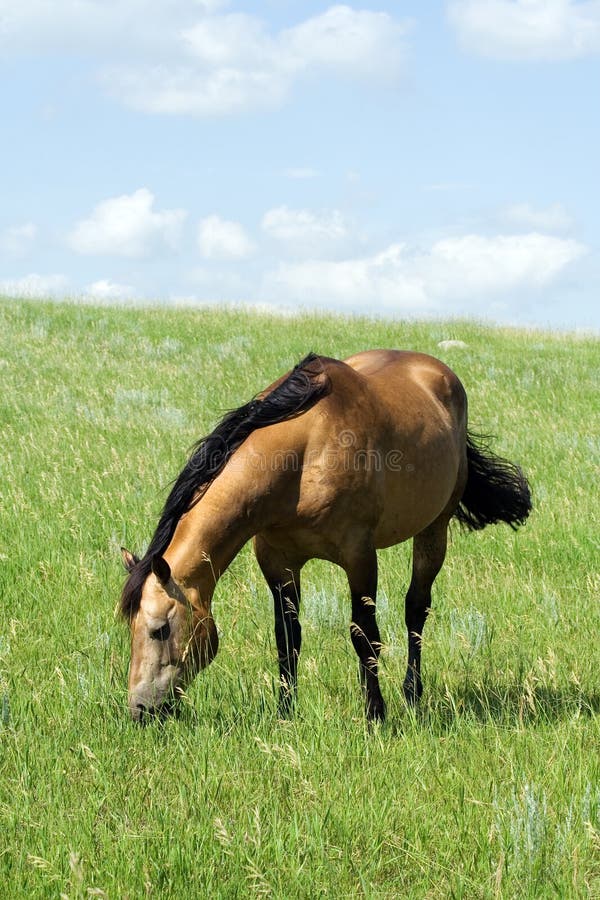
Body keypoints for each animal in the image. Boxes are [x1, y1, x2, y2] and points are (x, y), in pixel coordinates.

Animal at [120, 349, 531, 723]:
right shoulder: (277, 560)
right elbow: (287, 637)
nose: (139, 709)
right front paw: (285, 712)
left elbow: (364, 635)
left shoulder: (359, 555)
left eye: (159, 630)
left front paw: (375, 715)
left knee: (416, 608)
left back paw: (412, 694)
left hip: (434, 528)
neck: (305, 456)